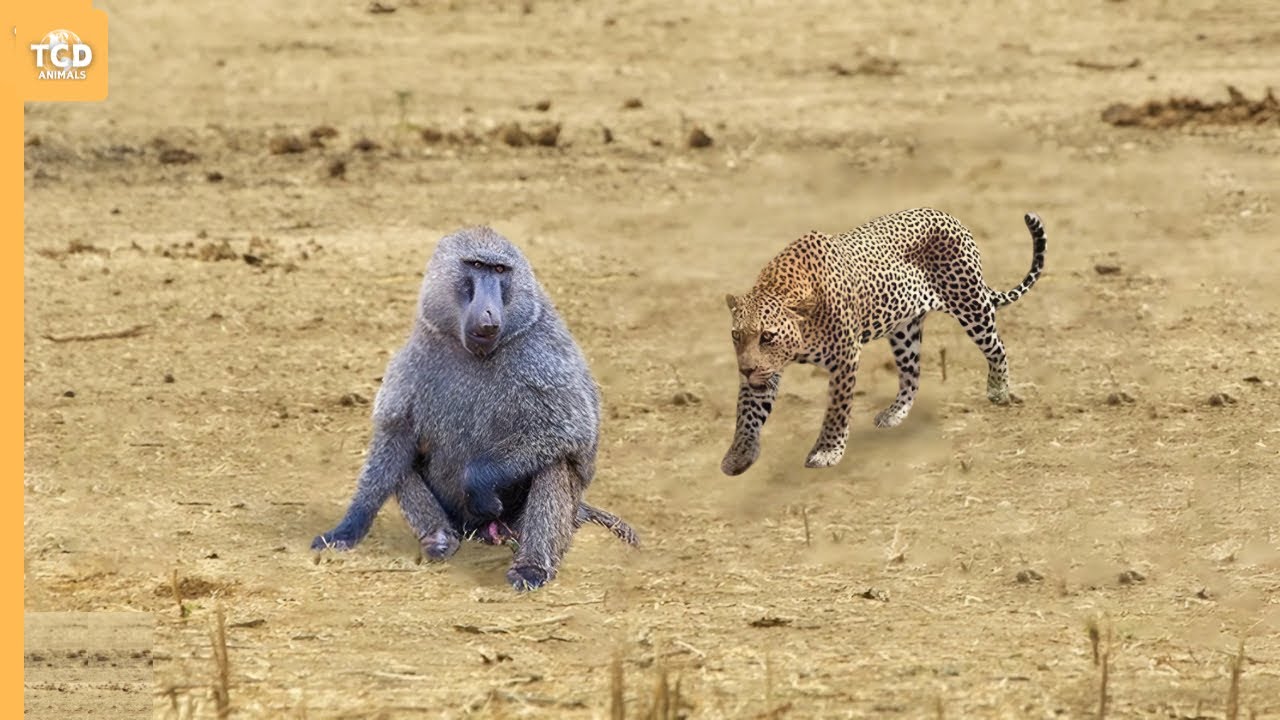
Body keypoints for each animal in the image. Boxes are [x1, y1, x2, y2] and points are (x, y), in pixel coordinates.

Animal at [311, 226, 637, 591]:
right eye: (476, 265)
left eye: (499, 270)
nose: (489, 315)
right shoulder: (420, 351)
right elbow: (395, 432)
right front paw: (348, 527)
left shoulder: (542, 354)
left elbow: (570, 428)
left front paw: (480, 487)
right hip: (457, 516)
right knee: (402, 454)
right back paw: (439, 538)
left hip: (529, 519)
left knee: (554, 462)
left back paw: (531, 565)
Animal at [721, 208, 1047, 475]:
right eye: (737, 336)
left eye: (767, 336)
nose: (745, 370)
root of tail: (951, 217)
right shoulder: (766, 371)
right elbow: (748, 412)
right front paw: (740, 454)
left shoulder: (845, 357)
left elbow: (837, 408)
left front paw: (827, 451)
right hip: (904, 331)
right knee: (912, 375)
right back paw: (895, 414)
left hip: (970, 304)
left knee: (997, 348)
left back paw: (999, 390)